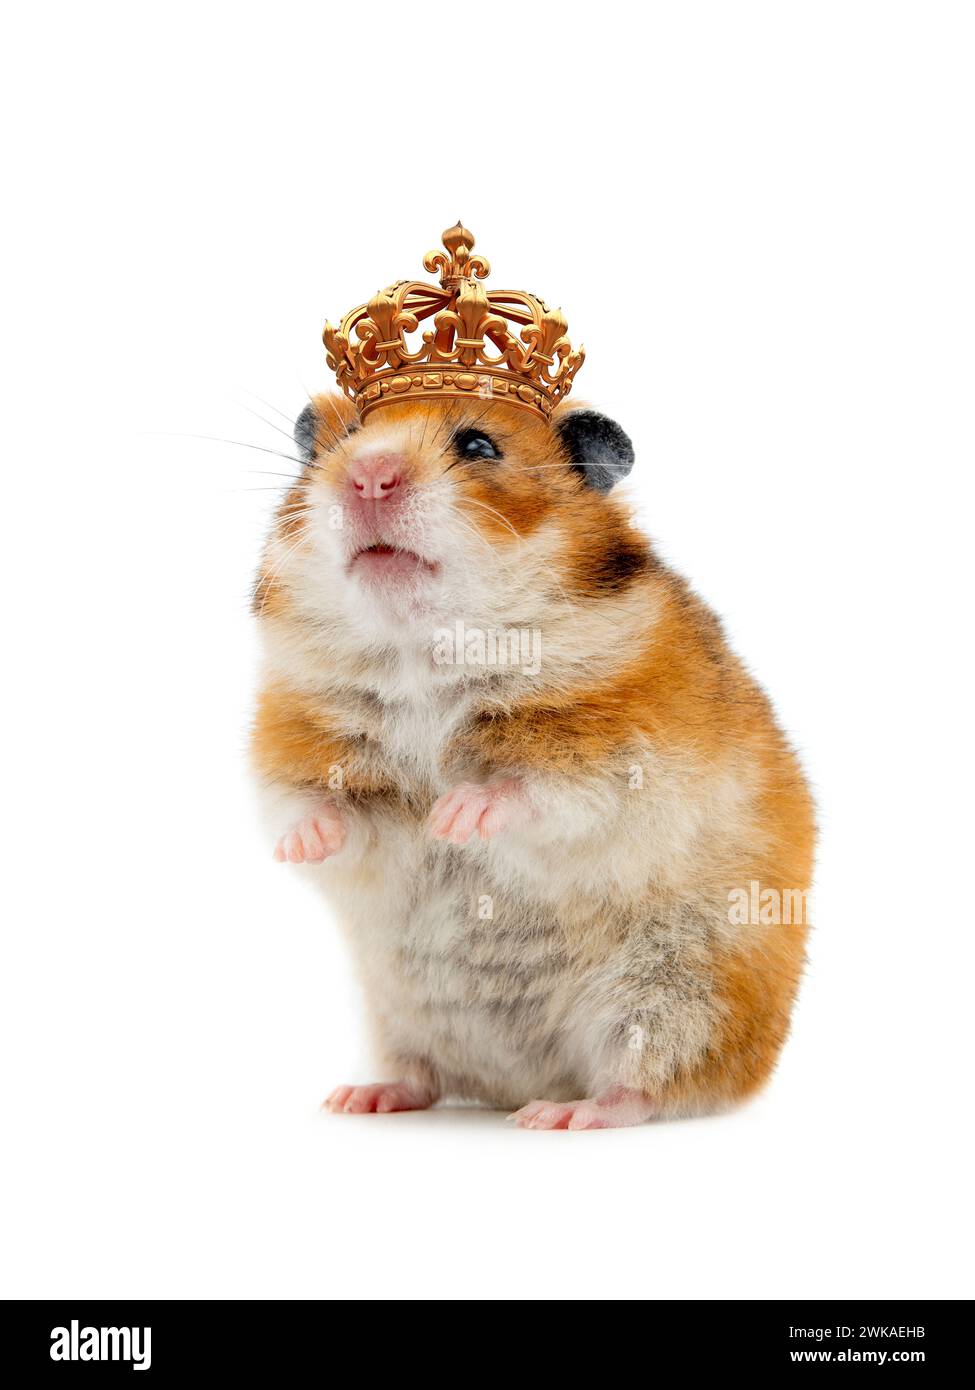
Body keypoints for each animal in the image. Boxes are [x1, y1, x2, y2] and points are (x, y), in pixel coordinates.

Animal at [251, 392, 815, 1128]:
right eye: (344, 438)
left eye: (478, 446)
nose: (369, 477)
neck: (421, 653)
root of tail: (521, 1080)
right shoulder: (294, 740)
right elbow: (316, 808)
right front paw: (301, 845)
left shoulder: (617, 757)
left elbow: (533, 791)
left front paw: (451, 817)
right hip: (397, 1015)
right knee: (423, 1074)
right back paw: (359, 1098)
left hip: (677, 995)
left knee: (648, 1084)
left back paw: (561, 1115)